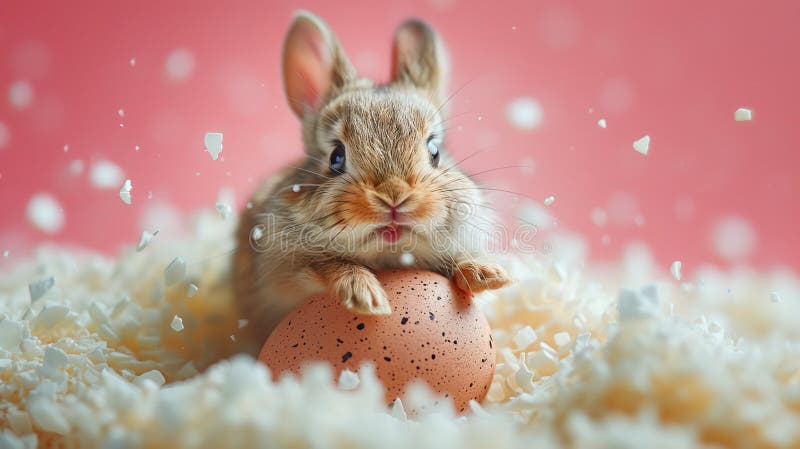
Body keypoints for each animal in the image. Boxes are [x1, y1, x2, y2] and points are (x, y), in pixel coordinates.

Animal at [234, 10, 511, 343]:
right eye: (336, 157)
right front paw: (366, 297)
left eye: (434, 151)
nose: (393, 196)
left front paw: (487, 275)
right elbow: (327, 266)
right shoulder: (285, 270)